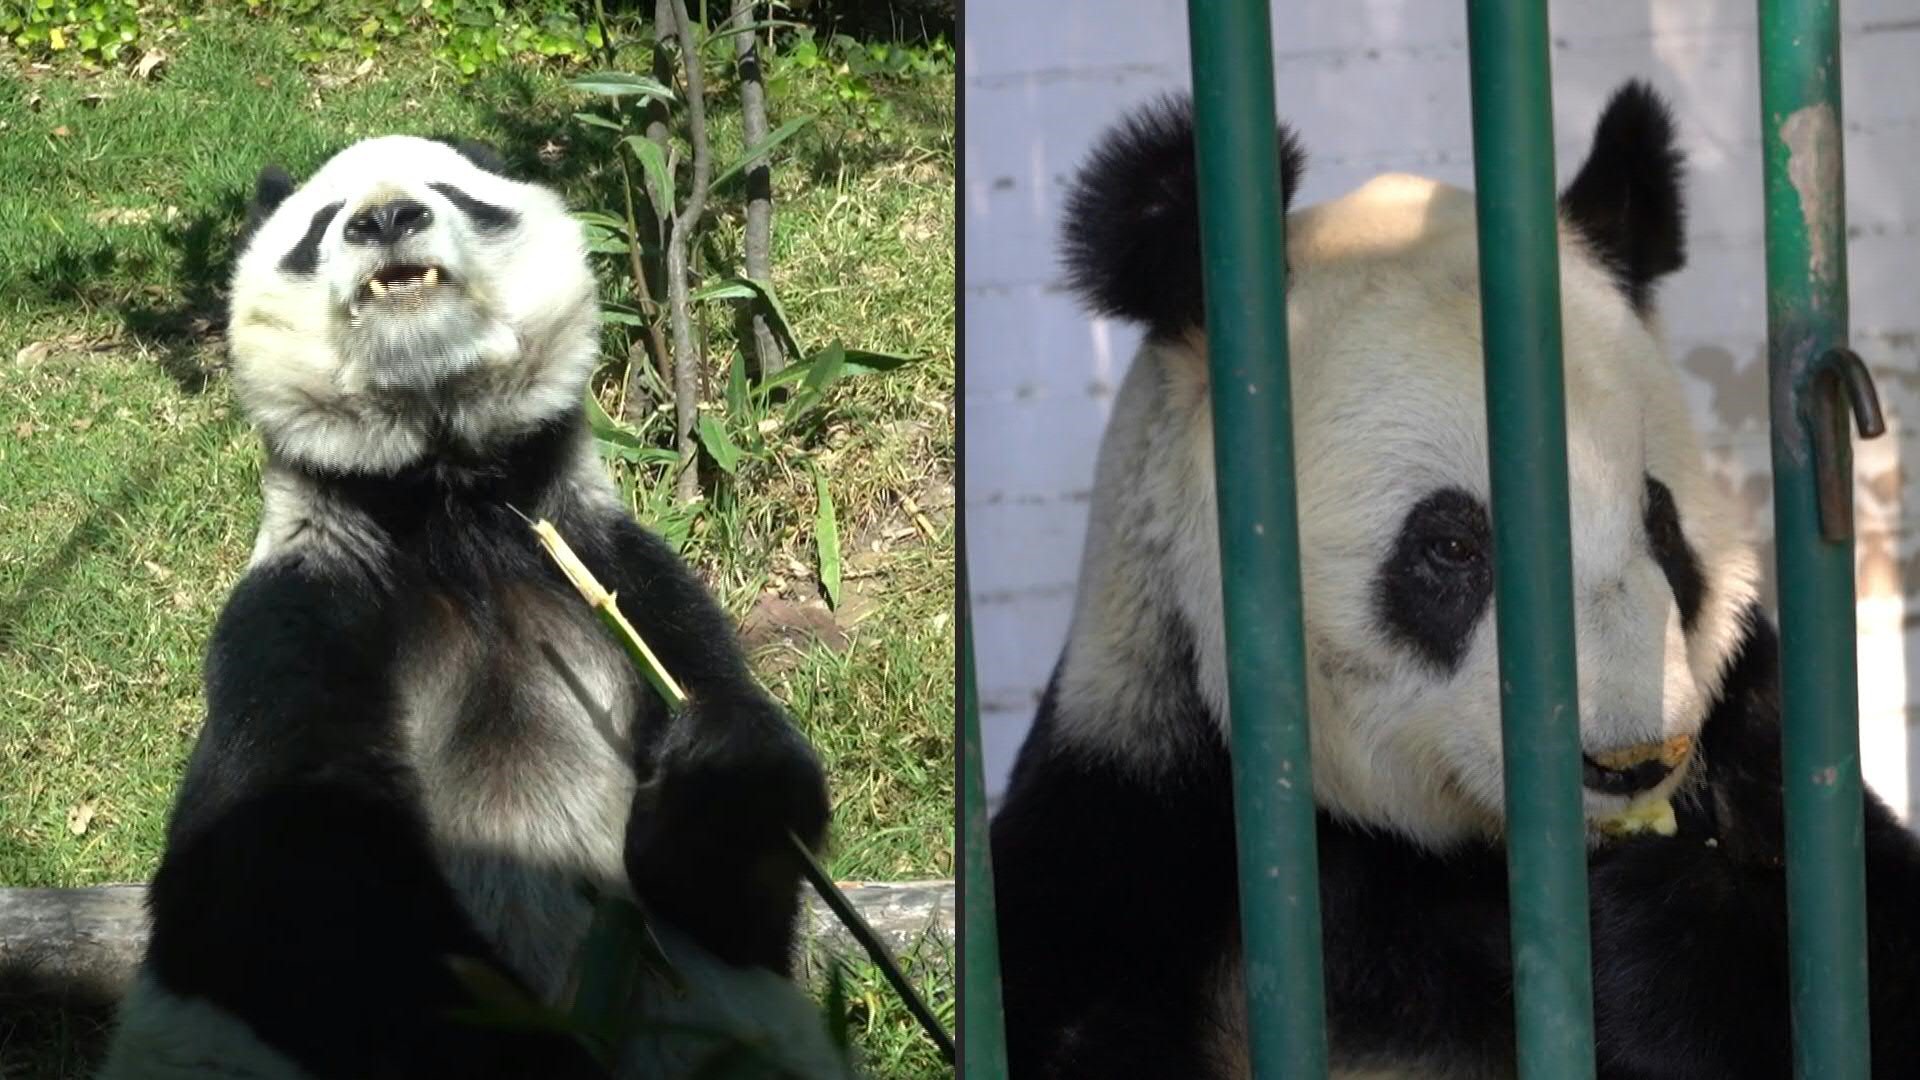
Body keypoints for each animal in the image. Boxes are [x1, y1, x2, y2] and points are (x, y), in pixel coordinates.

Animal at [95, 135, 836, 1079]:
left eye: (453, 193)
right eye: (321, 223)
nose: (384, 218)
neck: (447, 501)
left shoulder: (613, 571)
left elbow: (735, 900)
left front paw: (720, 764)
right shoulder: (300, 611)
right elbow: (294, 888)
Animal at [989, 81, 1920, 1079]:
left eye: (1659, 522)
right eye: (1453, 548)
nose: (1632, 762)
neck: (1446, 850)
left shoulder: (1757, 725)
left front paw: (1650, 928)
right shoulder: (1135, 811)